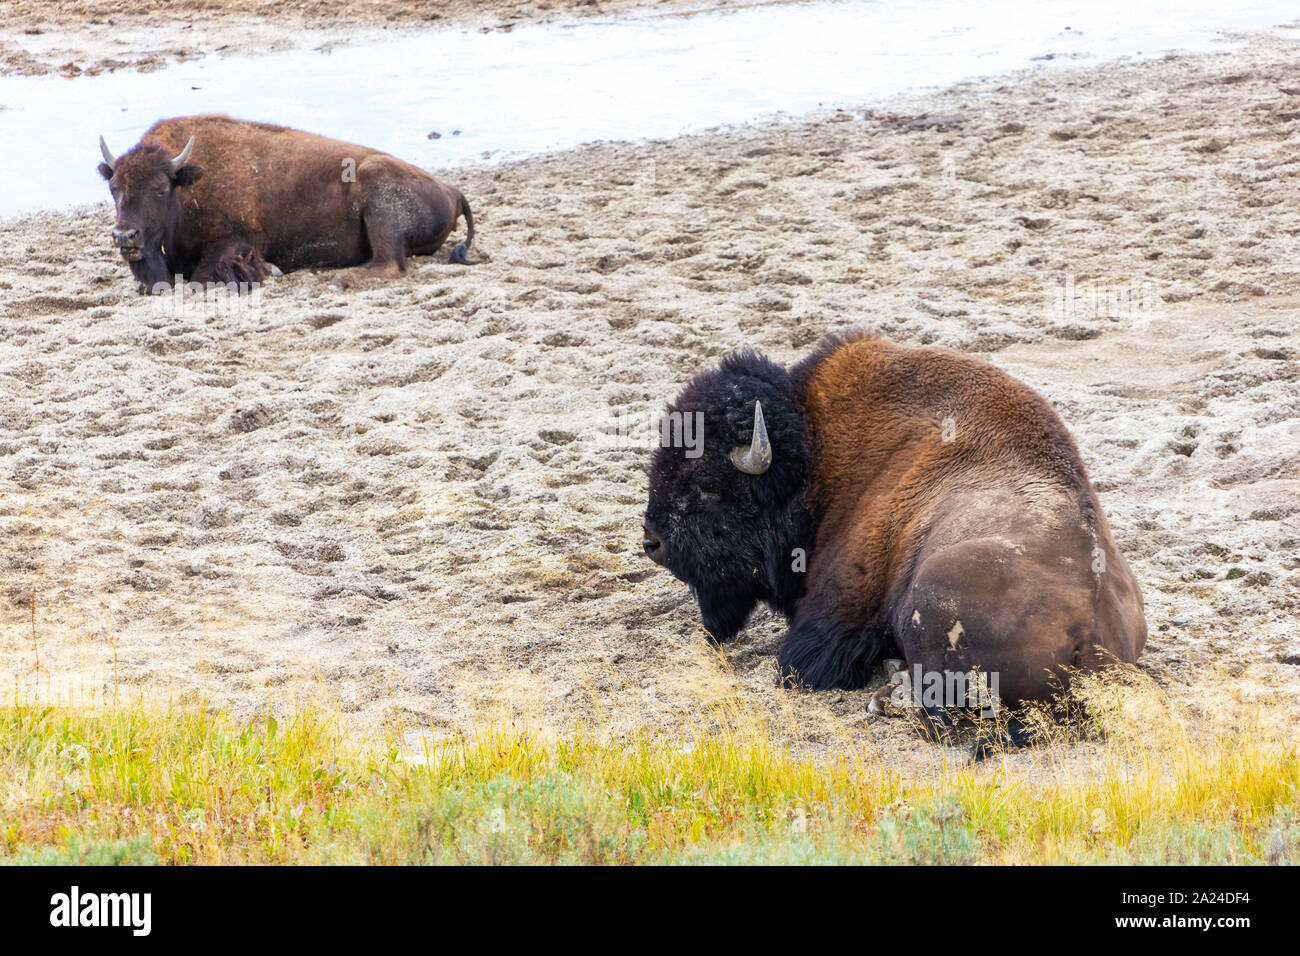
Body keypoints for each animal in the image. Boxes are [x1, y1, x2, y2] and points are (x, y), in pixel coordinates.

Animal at [97, 114, 476, 292]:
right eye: (114, 187)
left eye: (160, 188)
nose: (124, 236)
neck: (189, 179)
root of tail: (451, 191)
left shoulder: (237, 242)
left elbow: (205, 276)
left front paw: (272, 270)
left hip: (380, 202)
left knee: (389, 264)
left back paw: (339, 280)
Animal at [642, 332, 1147, 753]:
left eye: (706, 486)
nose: (652, 541)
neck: (814, 456)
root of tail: (1090, 635)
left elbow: (800, 665)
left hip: (926, 602)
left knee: (938, 719)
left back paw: (886, 697)